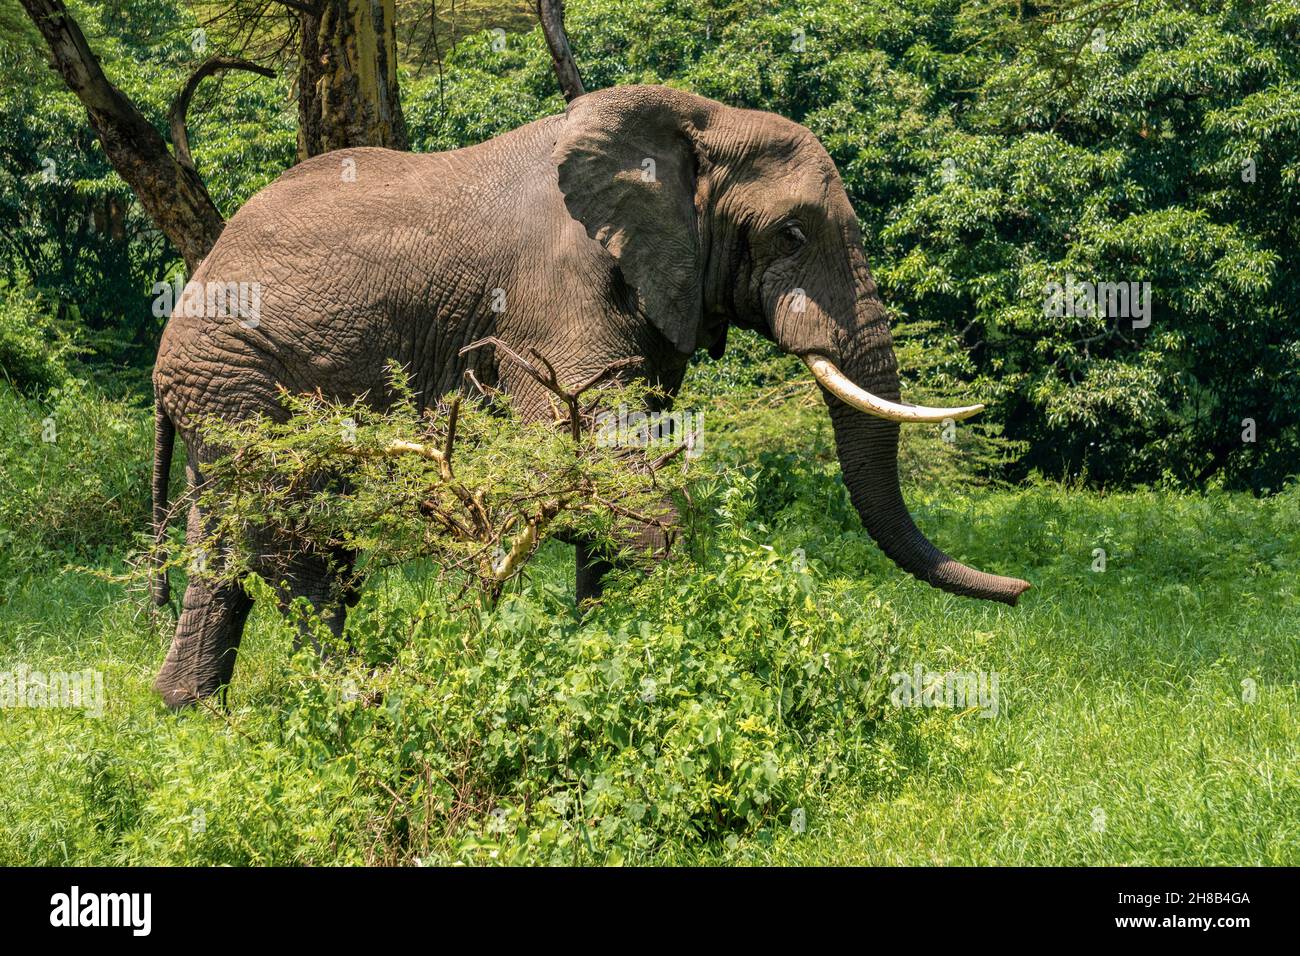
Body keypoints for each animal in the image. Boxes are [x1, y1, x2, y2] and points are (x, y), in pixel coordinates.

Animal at [150, 84, 1030, 708]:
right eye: (790, 234)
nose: (1022, 592)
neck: (696, 122)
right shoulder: (553, 290)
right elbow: (603, 466)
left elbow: (610, 479)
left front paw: (599, 654)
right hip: (236, 375)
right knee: (290, 540)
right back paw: (357, 697)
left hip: (218, 387)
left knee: (223, 544)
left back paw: (188, 711)